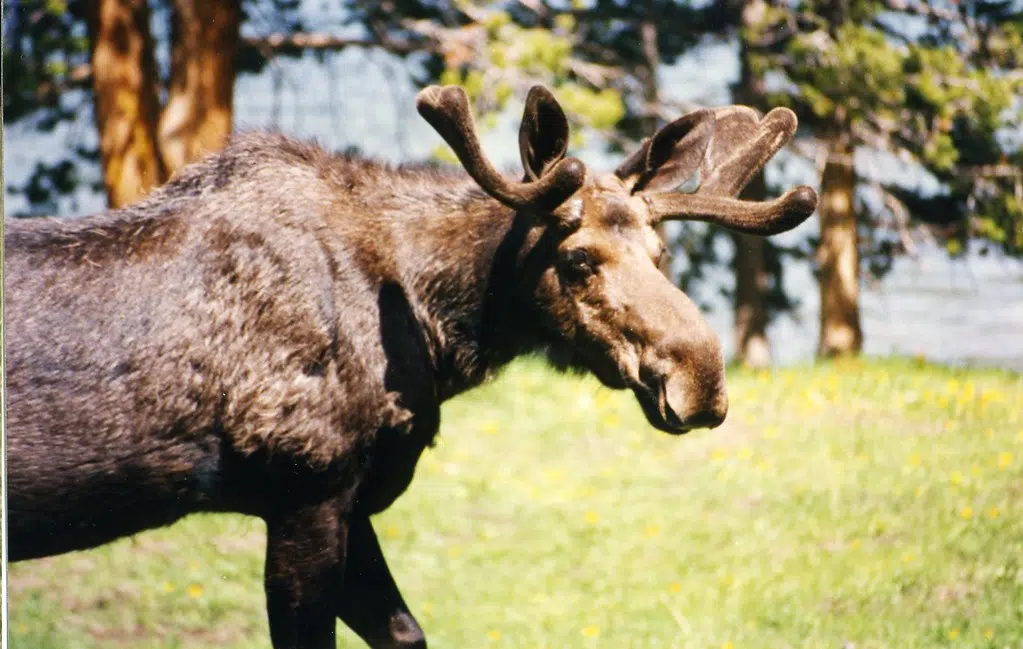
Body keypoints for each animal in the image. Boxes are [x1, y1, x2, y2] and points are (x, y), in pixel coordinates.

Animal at [5, 84, 817, 649]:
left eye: (660, 253)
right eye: (579, 259)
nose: (702, 380)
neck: (434, 332)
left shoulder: (349, 498)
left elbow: (407, 632)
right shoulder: (304, 487)